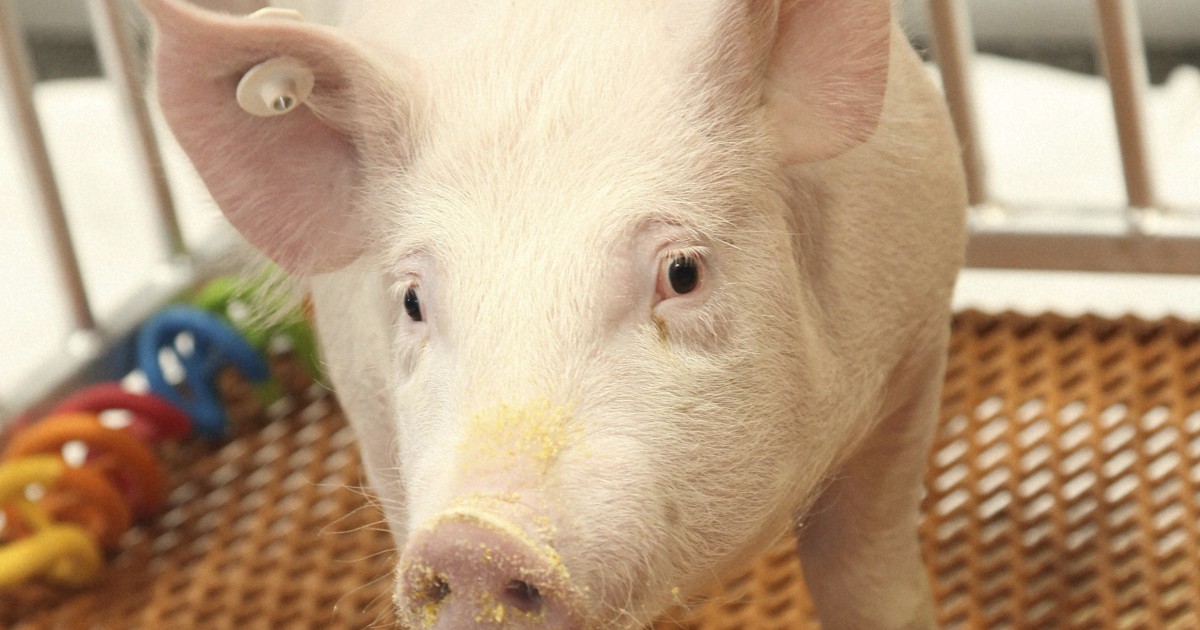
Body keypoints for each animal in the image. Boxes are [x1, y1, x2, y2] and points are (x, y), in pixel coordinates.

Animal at [141, 0, 966, 627]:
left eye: (683, 272)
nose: (473, 539)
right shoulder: (377, 428)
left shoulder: (917, 350)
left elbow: (863, 567)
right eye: (412, 300)